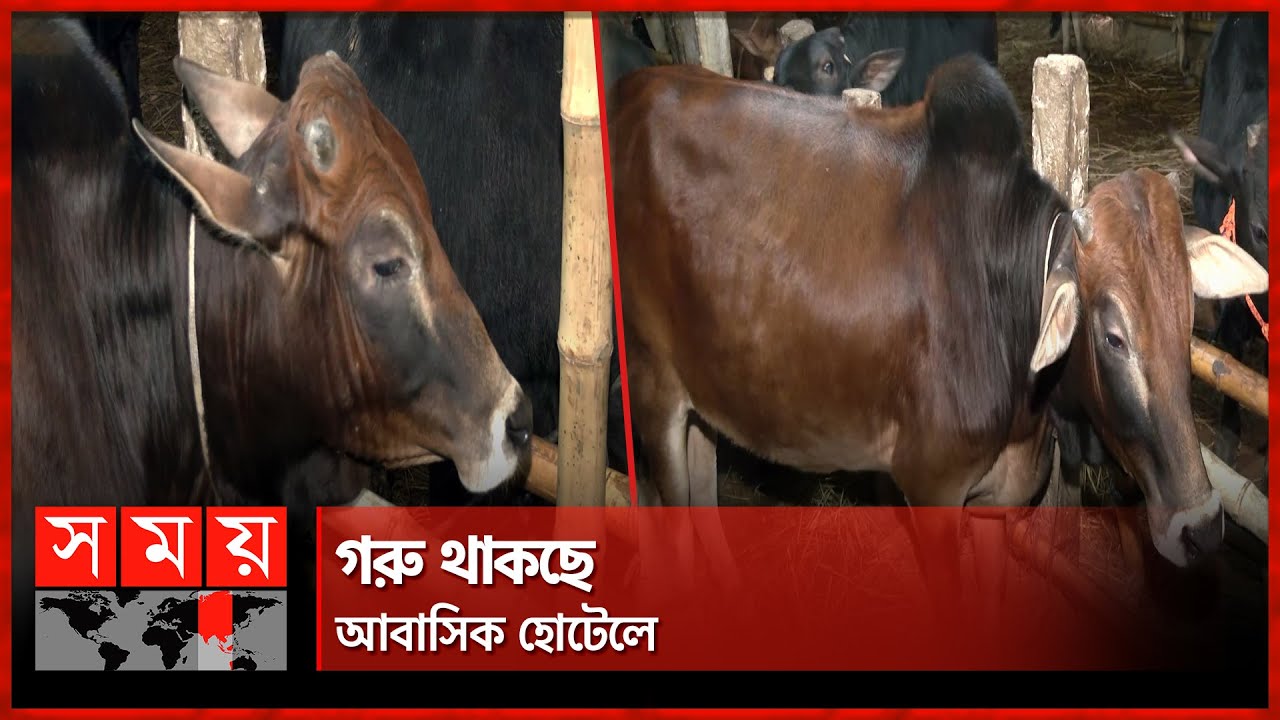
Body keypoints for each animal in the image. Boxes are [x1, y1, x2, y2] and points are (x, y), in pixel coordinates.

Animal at [609, 55, 1268, 595]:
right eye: (1113, 337)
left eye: (1187, 319)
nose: (1200, 528)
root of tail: (634, 90)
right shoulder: (932, 493)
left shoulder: (1001, 501)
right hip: (651, 387)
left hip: (705, 393)